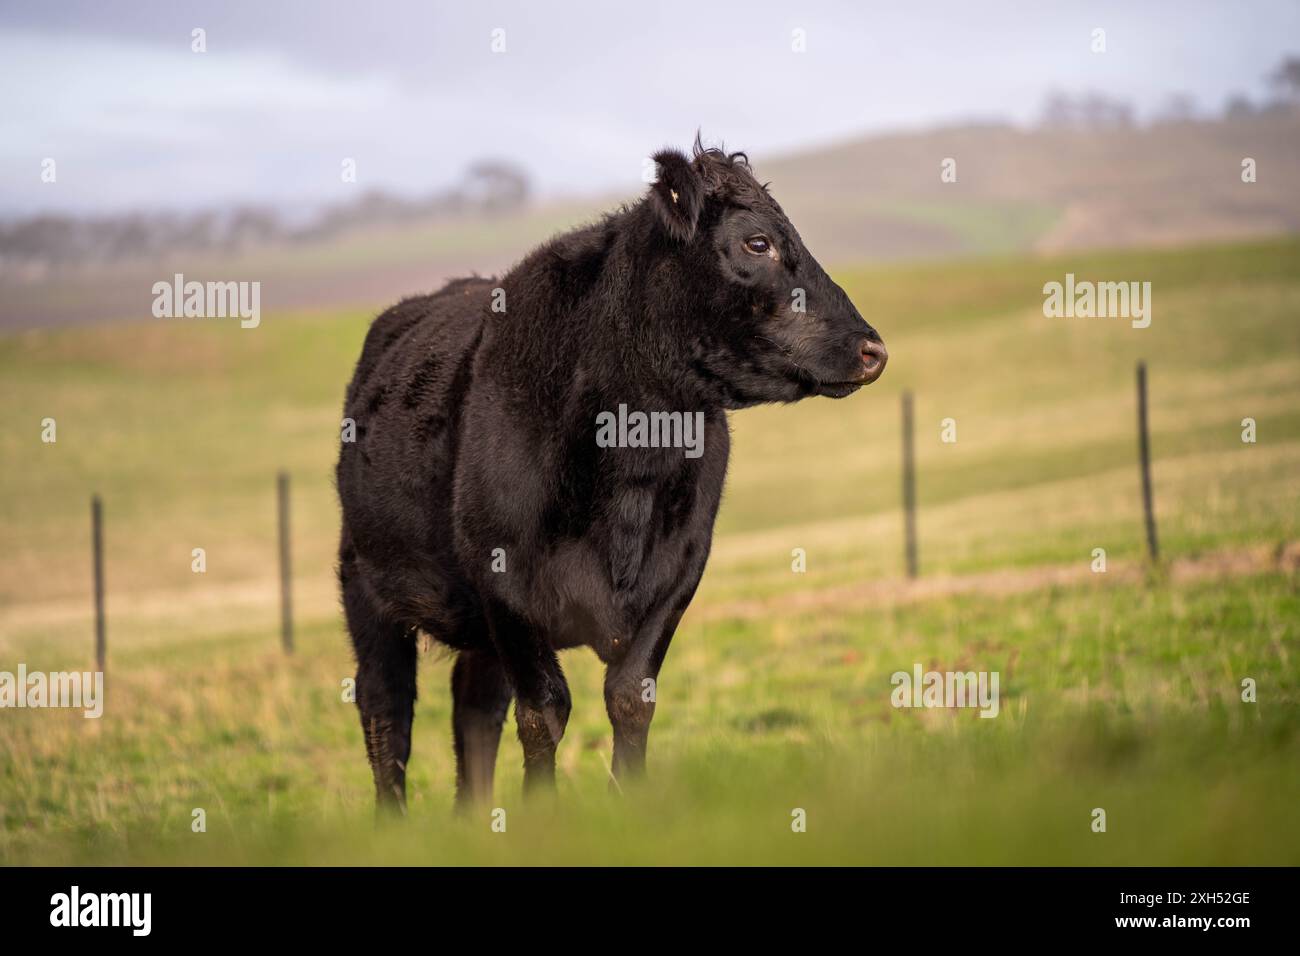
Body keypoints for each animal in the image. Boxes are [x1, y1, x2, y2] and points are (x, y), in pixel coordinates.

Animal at [336, 138, 887, 813]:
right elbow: (544, 711)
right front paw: (541, 815)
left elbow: (629, 700)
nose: (872, 350)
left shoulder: (678, 573)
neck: (628, 478)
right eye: (757, 243)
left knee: (474, 707)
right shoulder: (504, 583)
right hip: (365, 580)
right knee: (385, 706)